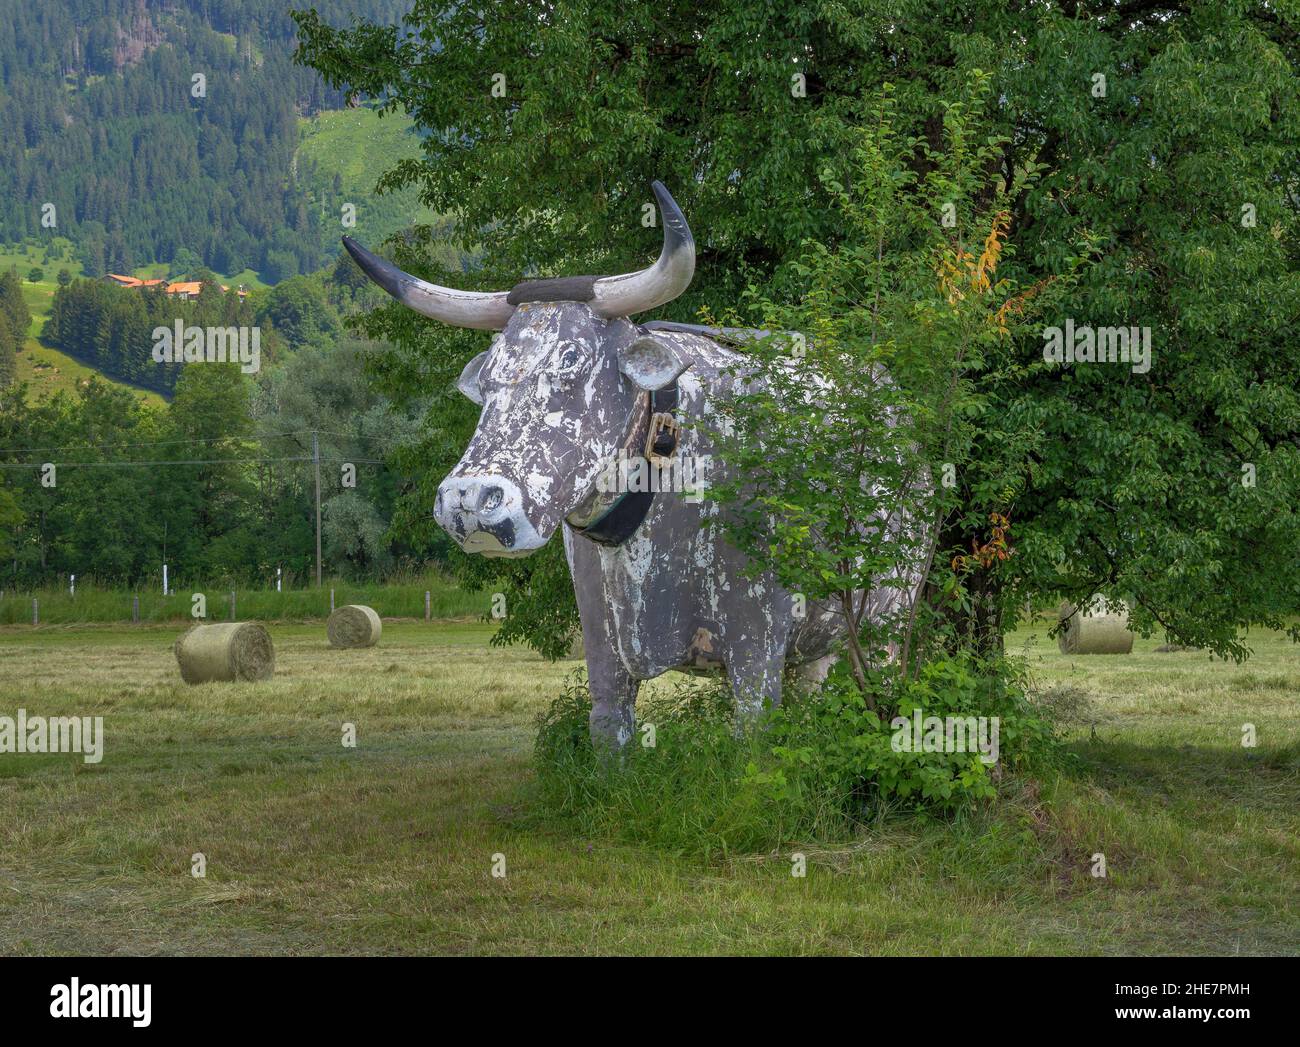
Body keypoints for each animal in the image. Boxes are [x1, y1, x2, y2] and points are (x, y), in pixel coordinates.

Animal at [343, 181, 925, 749]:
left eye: (572, 362)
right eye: (487, 378)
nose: (468, 501)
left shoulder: (758, 636)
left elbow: (754, 740)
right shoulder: (601, 638)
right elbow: (609, 726)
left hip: (889, 616)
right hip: (817, 647)